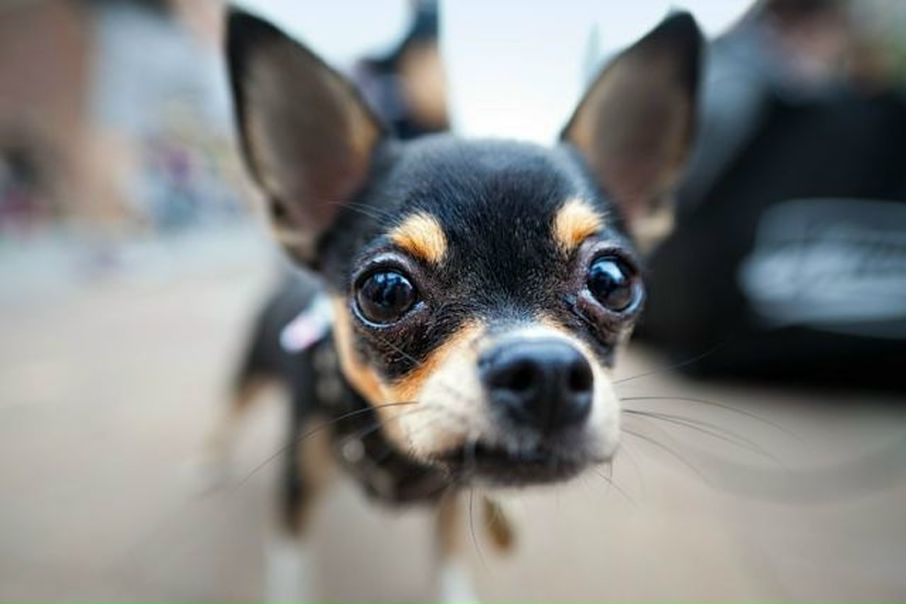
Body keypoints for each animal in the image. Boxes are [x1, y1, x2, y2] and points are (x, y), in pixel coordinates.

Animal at [217, 8, 701, 603]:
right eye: (385, 291)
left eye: (611, 280)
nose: (545, 370)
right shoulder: (295, 495)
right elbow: (291, 572)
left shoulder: (451, 504)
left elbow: (448, 562)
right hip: (249, 371)